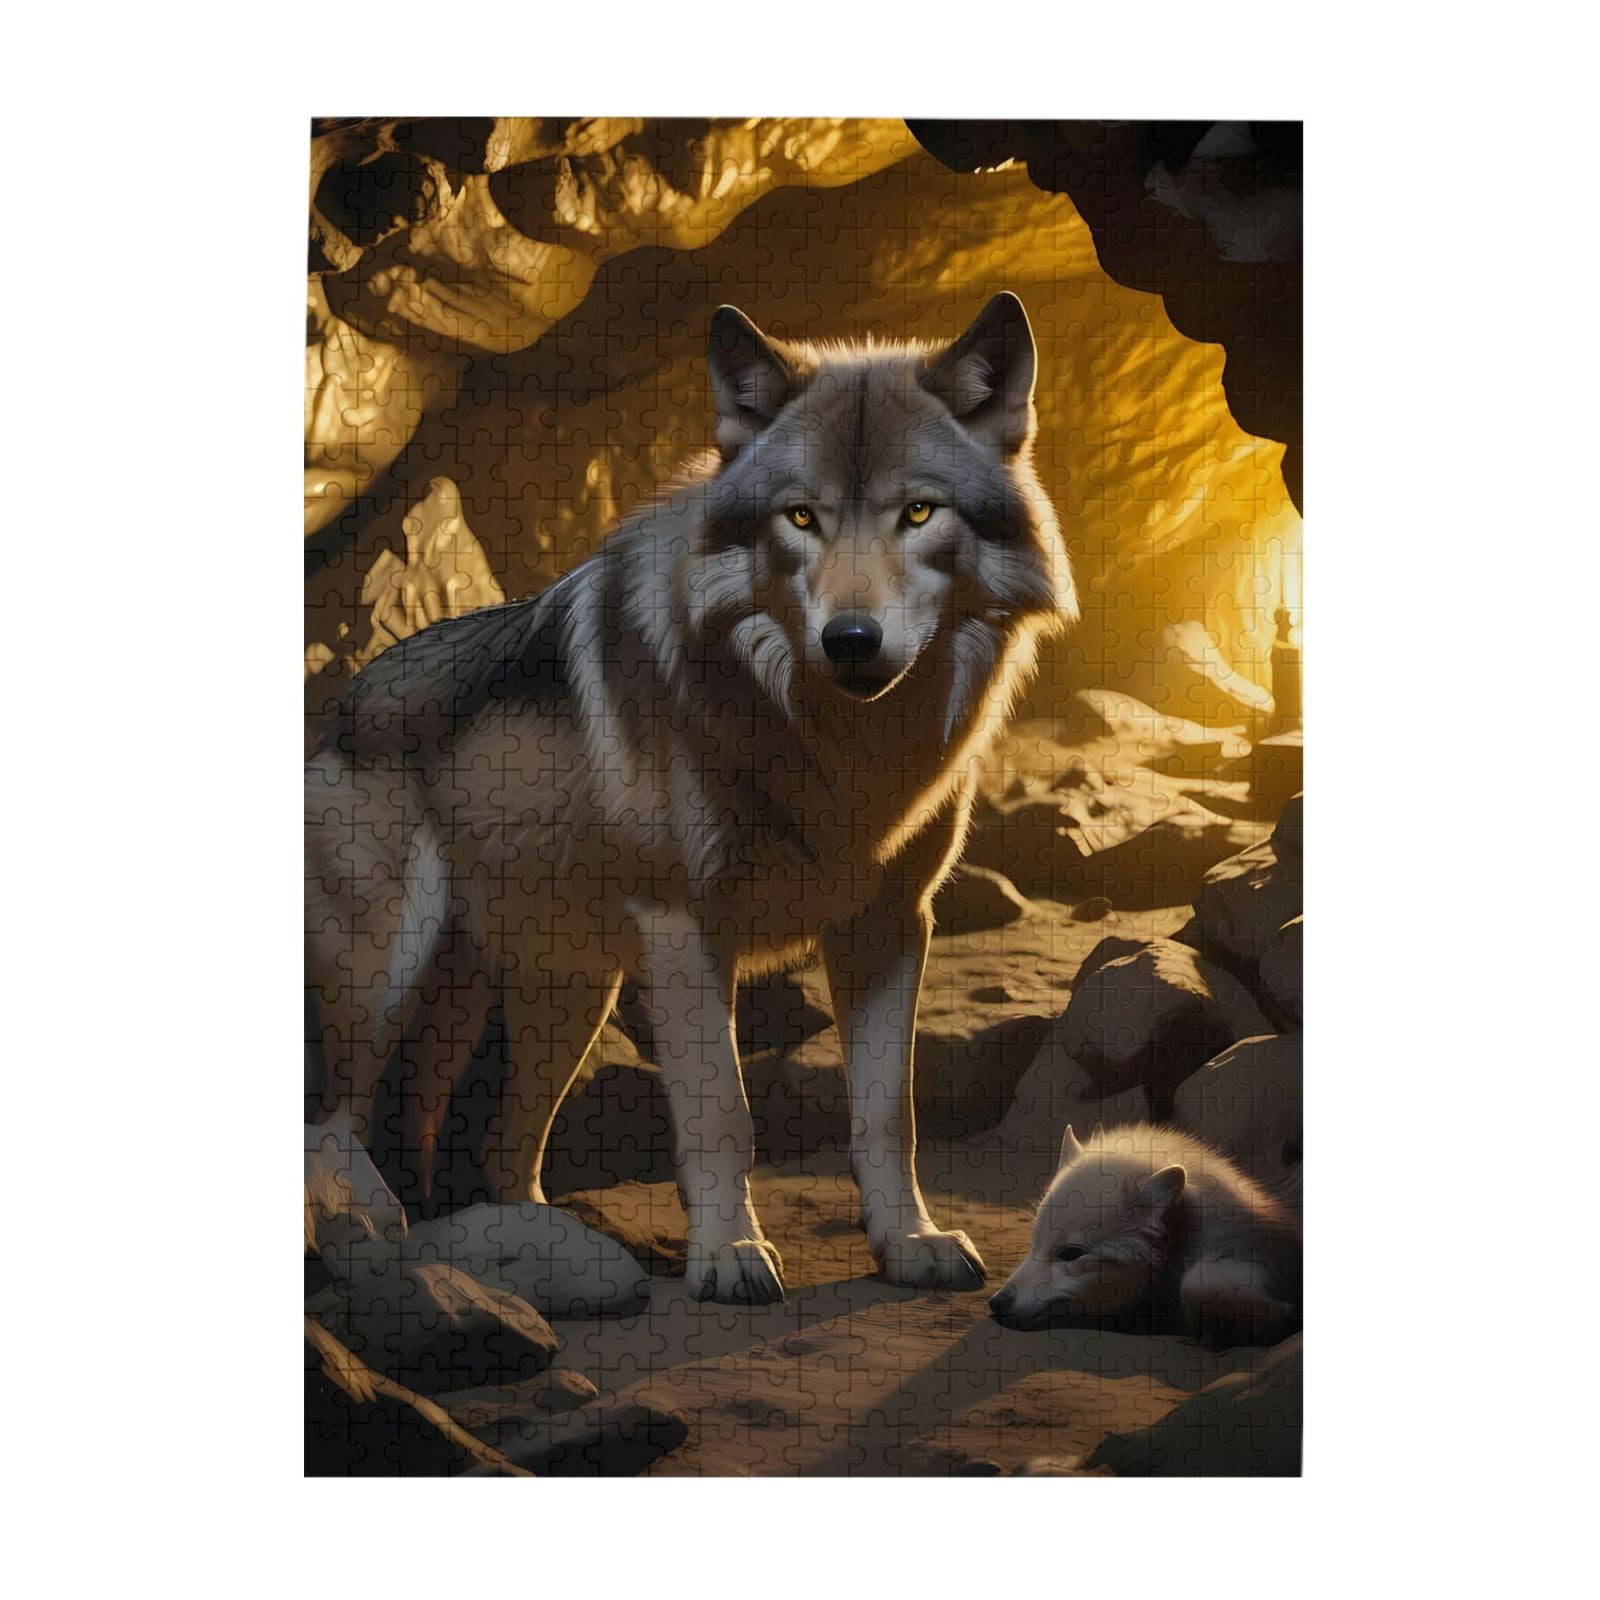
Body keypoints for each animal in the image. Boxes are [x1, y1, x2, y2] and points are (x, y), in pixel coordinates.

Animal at [306, 292, 1078, 1304]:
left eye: (918, 512)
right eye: (800, 517)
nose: (851, 640)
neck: (838, 751)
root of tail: (340, 701)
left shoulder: (890, 924)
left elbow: (887, 1114)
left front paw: (909, 1243)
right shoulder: (685, 930)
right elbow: (723, 1113)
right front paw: (730, 1257)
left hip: (560, 999)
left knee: (498, 1149)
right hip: (386, 983)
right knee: (335, 1124)